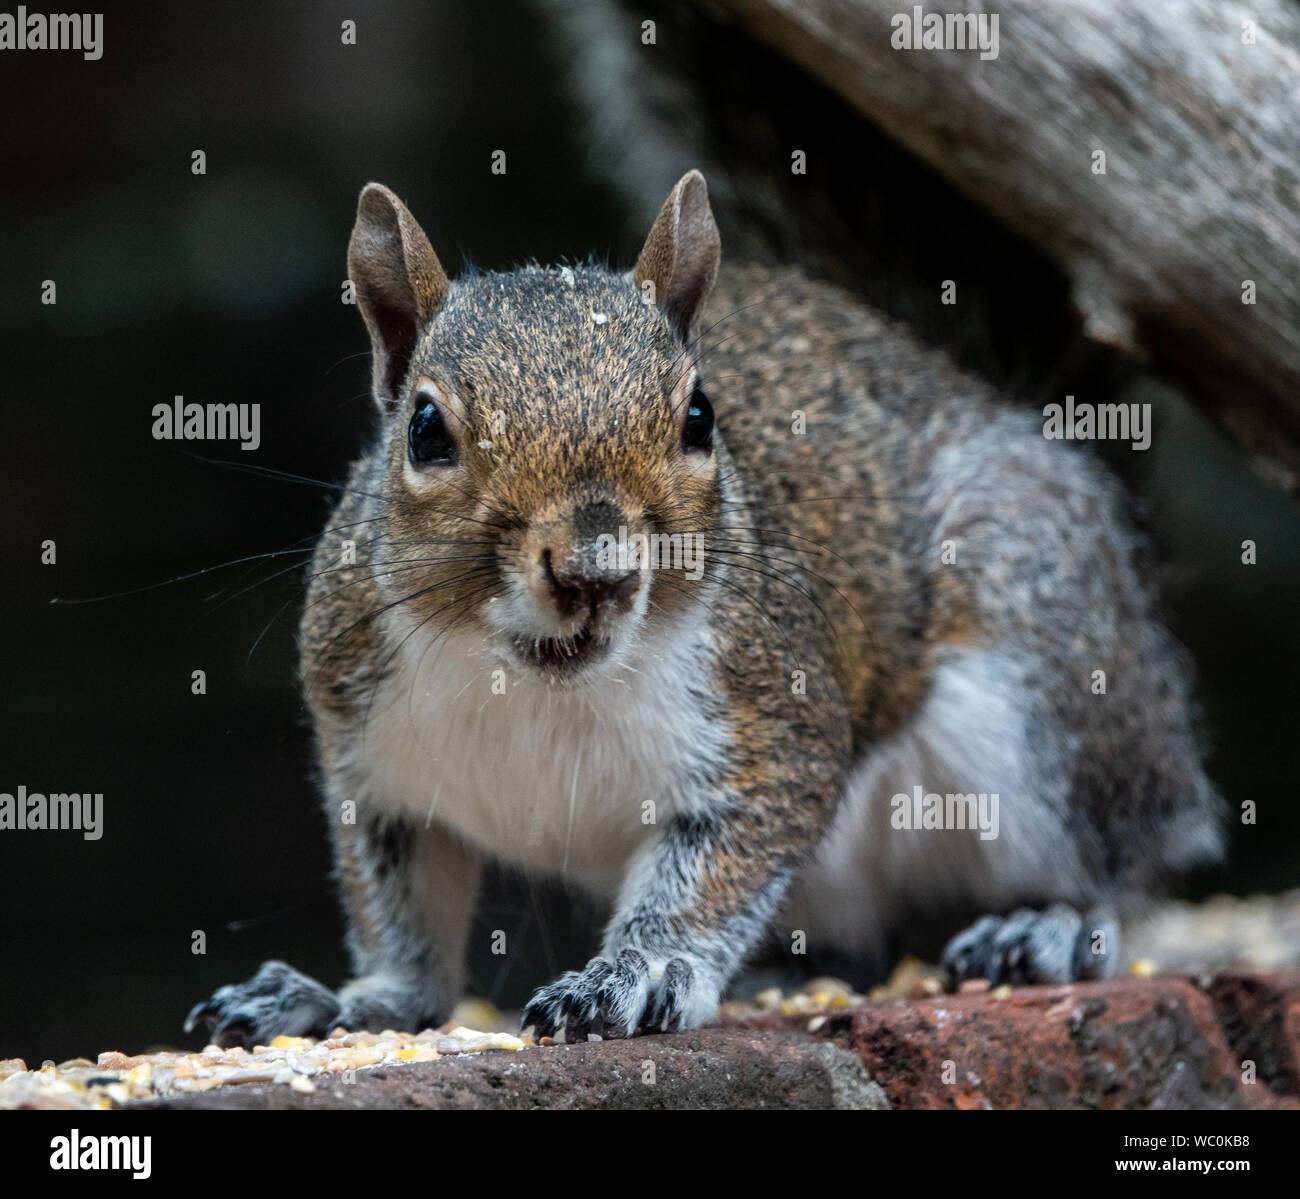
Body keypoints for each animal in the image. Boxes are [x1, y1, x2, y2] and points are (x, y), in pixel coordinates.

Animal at [186, 171, 1222, 1046]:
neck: (531, 679)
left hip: (1046, 684)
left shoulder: (775, 719)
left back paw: (1048, 927)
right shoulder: (369, 760)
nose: (595, 570)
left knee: (1117, 868)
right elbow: (399, 912)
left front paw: (636, 972)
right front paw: (351, 998)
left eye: (699, 417)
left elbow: (714, 869)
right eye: (426, 431)